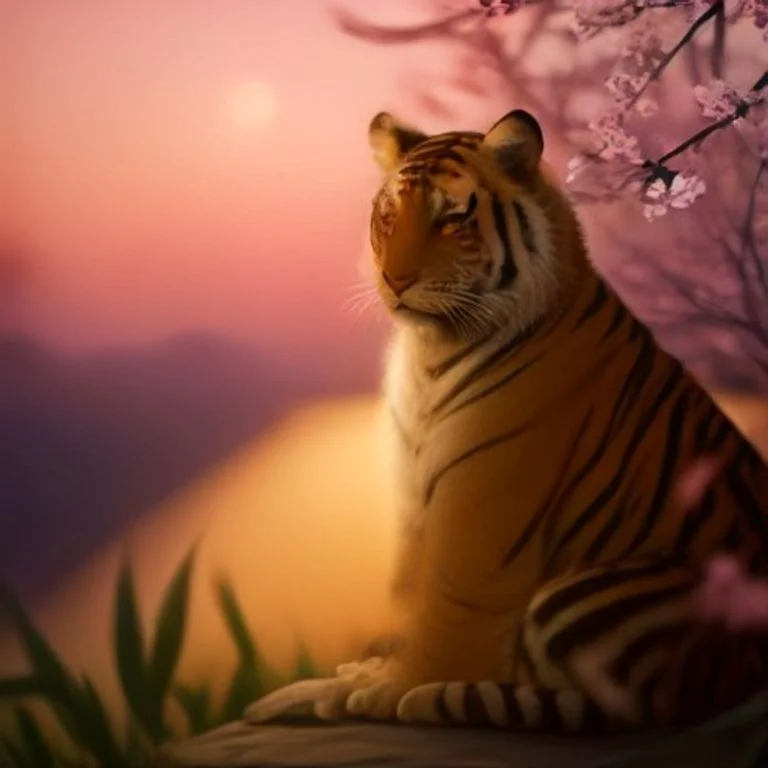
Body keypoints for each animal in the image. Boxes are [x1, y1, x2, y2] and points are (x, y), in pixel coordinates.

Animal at [245, 108, 768, 734]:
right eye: (389, 216)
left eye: (451, 218)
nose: (394, 280)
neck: (429, 353)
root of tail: (738, 675)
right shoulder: (414, 506)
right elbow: (411, 602)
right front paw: (366, 675)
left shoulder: (483, 512)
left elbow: (448, 623)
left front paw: (393, 687)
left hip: (590, 595)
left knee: (619, 708)